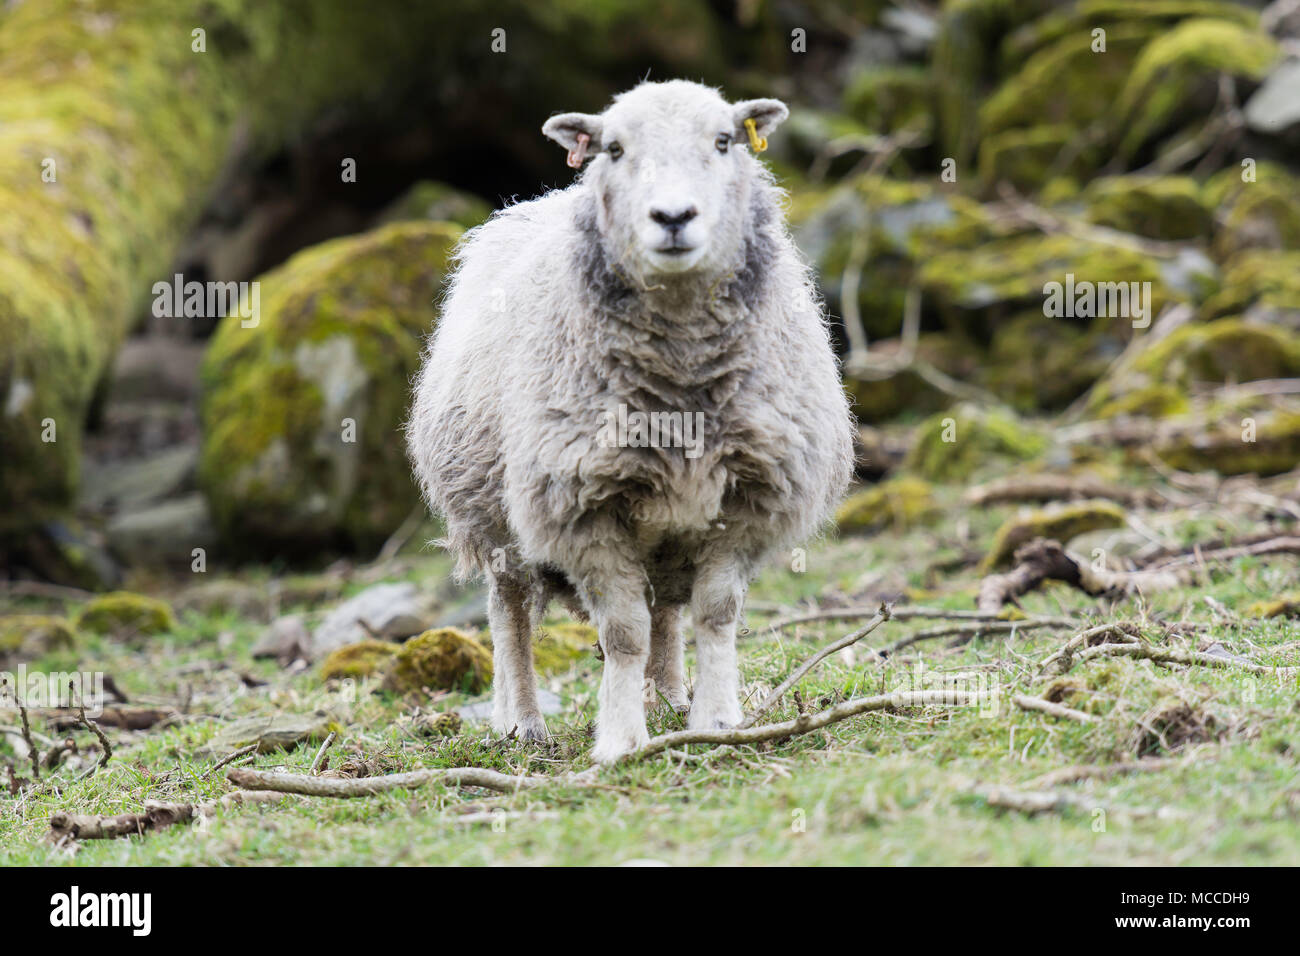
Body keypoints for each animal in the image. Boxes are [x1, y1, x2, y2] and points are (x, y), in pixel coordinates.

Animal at [406, 79, 854, 763]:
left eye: (723, 141)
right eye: (613, 149)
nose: (672, 218)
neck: (681, 382)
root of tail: (529, 205)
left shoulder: (751, 497)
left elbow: (714, 614)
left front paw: (716, 720)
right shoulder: (582, 507)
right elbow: (621, 633)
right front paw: (620, 741)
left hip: (667, 529)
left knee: (666, 610)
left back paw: (669, 696)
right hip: (492, 513)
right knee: (509, 611)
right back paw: (521, 722)